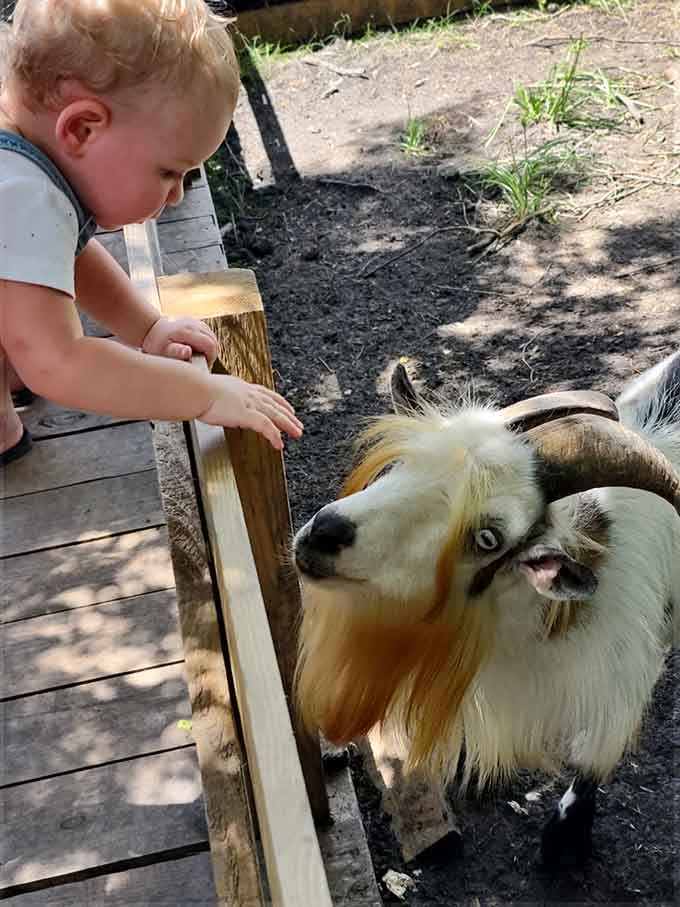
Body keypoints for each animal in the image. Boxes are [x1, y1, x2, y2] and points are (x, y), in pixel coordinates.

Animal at [294, 352, 680, 867]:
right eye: (401, 463)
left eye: (488, 538)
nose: (323, 534)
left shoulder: (622, 682)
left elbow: (590, 759)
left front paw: (564, 840)